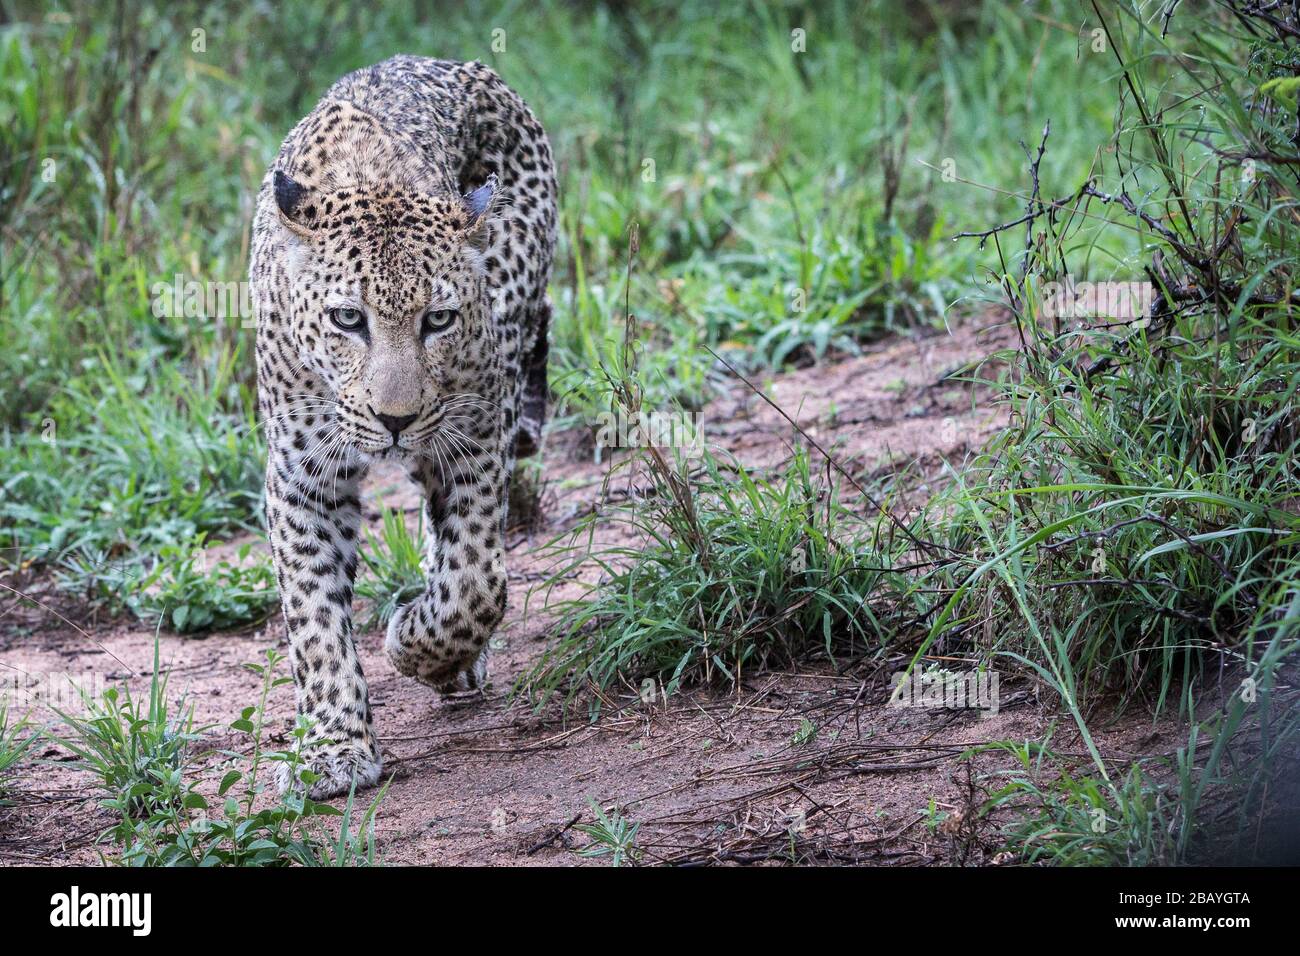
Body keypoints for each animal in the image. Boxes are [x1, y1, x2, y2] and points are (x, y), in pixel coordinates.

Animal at [249, 56, 557, 798]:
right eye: (347, 319)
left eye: (437, 320)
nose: (396, 419)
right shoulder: (303, 477)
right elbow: (313, 617)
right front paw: (333, 746)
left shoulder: (473, 440)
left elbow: (476, 580)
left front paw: (421, 646)